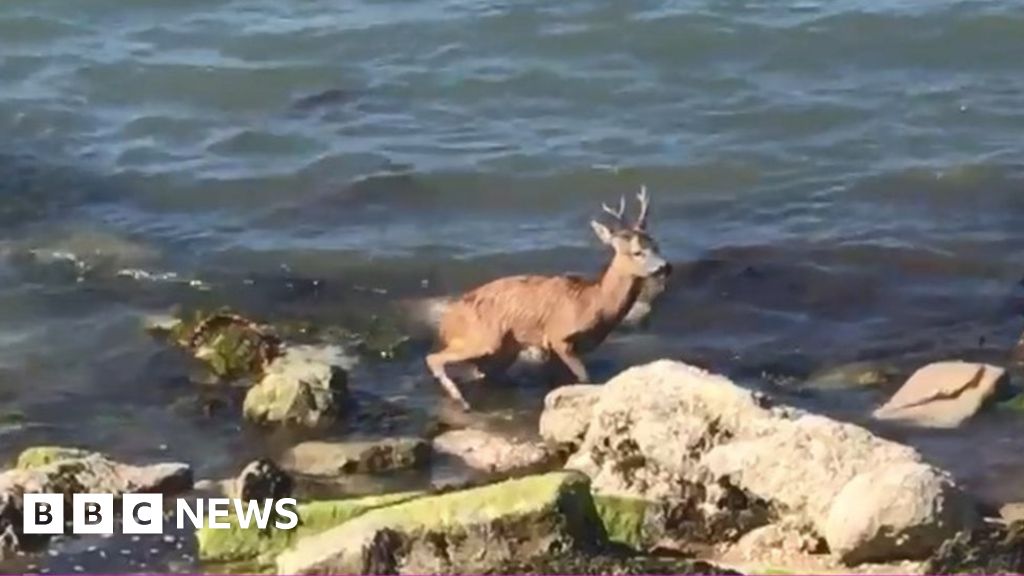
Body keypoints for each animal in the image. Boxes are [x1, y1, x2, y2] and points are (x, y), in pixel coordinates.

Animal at [425, 187, 671, 410]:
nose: (666, 267)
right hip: (484, 337)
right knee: (434, 358)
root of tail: (446, 324)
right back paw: (460, 400)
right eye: (637, 252)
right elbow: (584, 377)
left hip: (504, 348)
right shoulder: (558, 335)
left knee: (482, 373)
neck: (594, 303)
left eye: (656, 245)